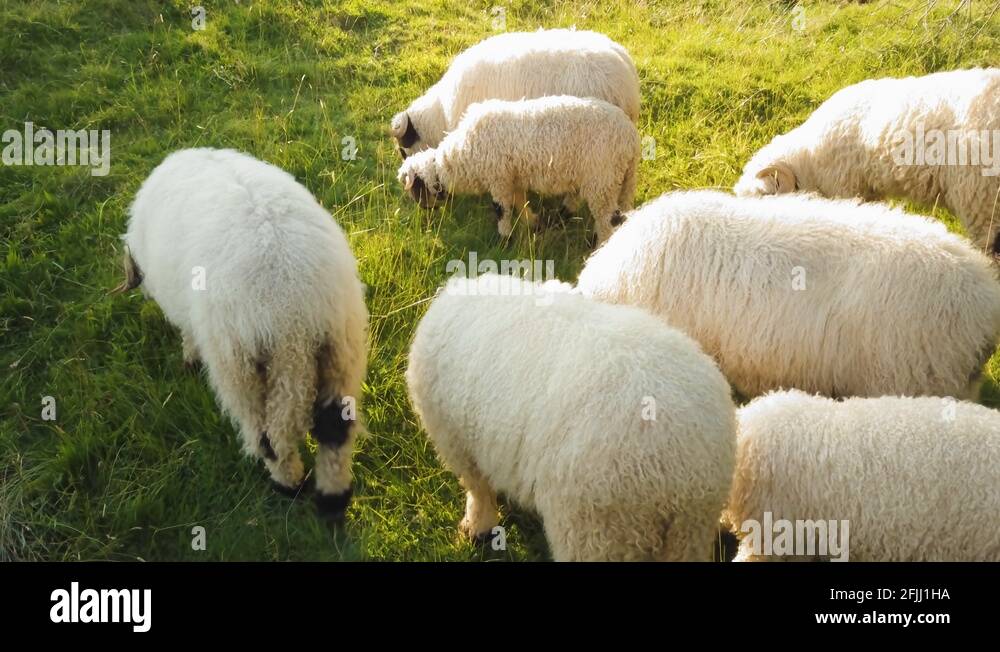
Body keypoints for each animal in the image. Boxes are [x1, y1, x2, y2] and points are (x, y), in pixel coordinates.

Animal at [116, 148, 368, 518]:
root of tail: (298, 312)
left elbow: (189, 335)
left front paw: (189, 360)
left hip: (241, 365)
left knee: (270, 436)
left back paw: (288, 485)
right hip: (341, 347)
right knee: (335, 429)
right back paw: (332, 499)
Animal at [396, 96, 640, 245]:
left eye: (415, 189)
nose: (427, 210)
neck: (460, 158)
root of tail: (631, 138)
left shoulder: (498, 179)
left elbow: (501, 209)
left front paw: (504, 239)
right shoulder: (513, 178)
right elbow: (520, 202)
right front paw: (532, 222)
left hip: (602, 179)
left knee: (607, 221)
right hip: (613, 179)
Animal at [406, 273, 736, 561]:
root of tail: (678, 468)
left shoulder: (457, 441)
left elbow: (478, 491)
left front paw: (476, 529)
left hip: (597, 531)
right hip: (690, 532)